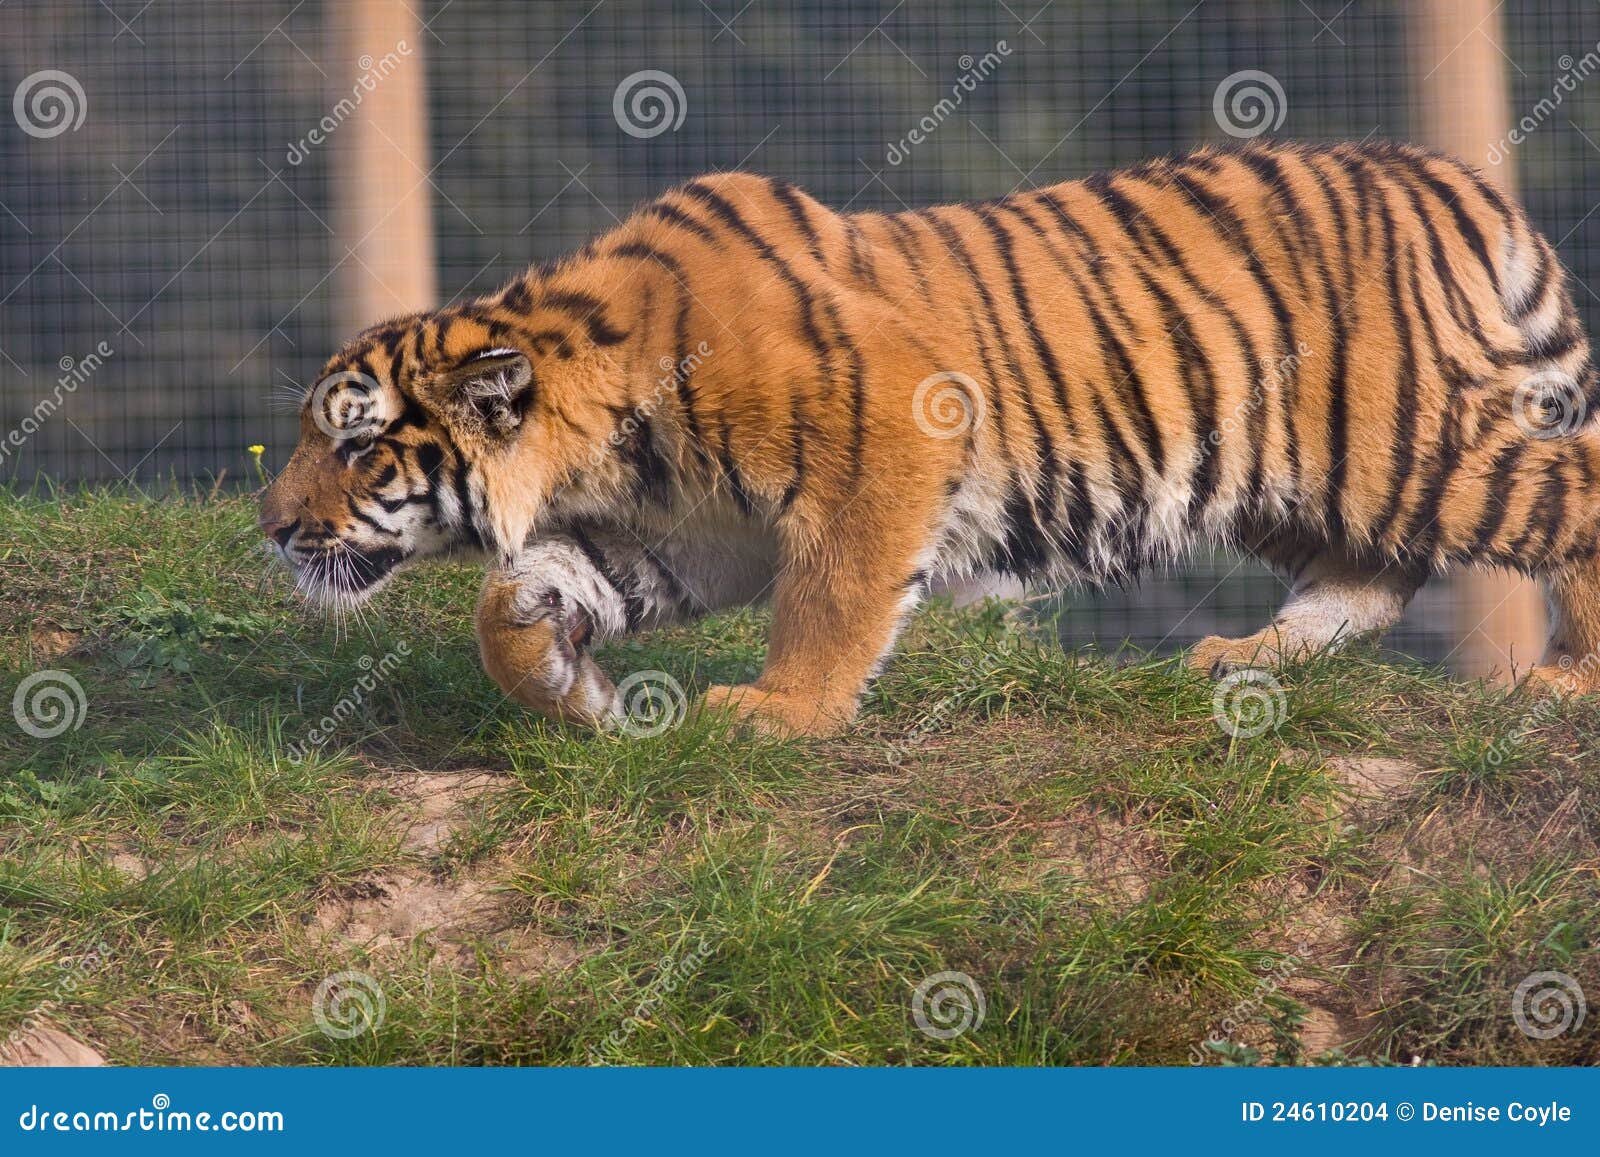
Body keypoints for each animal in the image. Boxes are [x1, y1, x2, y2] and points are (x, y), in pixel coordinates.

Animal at [259, 139, 1600, 737]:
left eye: (360, 446)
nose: (270, 529)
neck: (603, 429)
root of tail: (1450, 176)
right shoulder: (693, 534)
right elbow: (522, 592)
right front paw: (564, 685)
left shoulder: (884, 442)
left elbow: (835, 599)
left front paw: (780, 712)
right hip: (1279, 475)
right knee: (1374, 573)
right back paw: (1245, 660)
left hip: (1400, 443)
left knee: (1571, 494)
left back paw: (1571, 679)